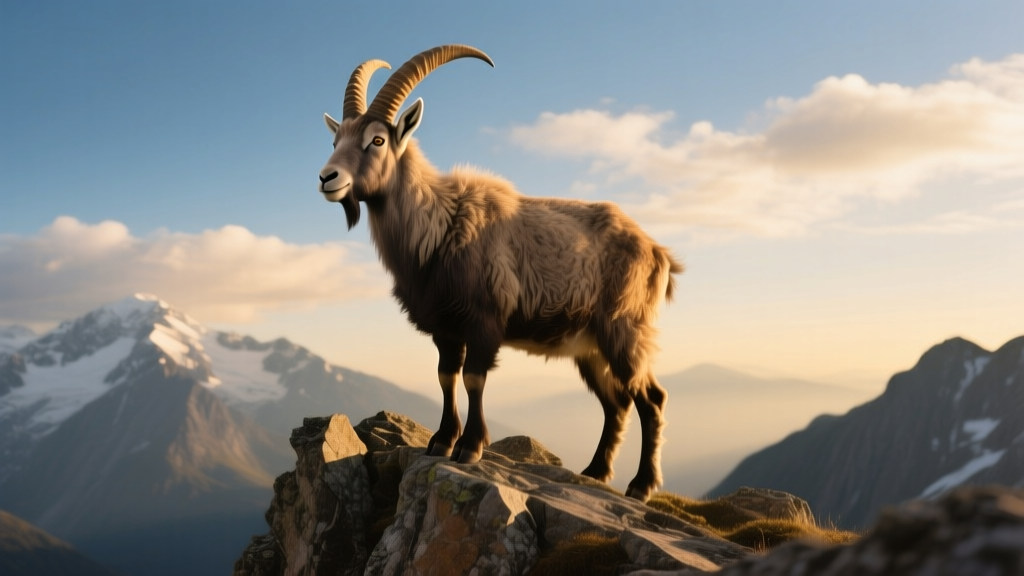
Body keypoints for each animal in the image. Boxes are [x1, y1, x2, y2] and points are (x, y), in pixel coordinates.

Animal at [317, 45, 683, 501]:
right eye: (336, 140)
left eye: (377, 140)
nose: (327, 178)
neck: (441, 226)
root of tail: (659, 253)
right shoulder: (446, 327)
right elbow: (446, 377)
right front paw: (441, 441)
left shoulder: (484, 321)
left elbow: (474, 378)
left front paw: (470, 447)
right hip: (589, 346)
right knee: (616, 402)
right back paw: (596, 472)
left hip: (624, 330)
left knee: (651, 398)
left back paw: (641, 485)